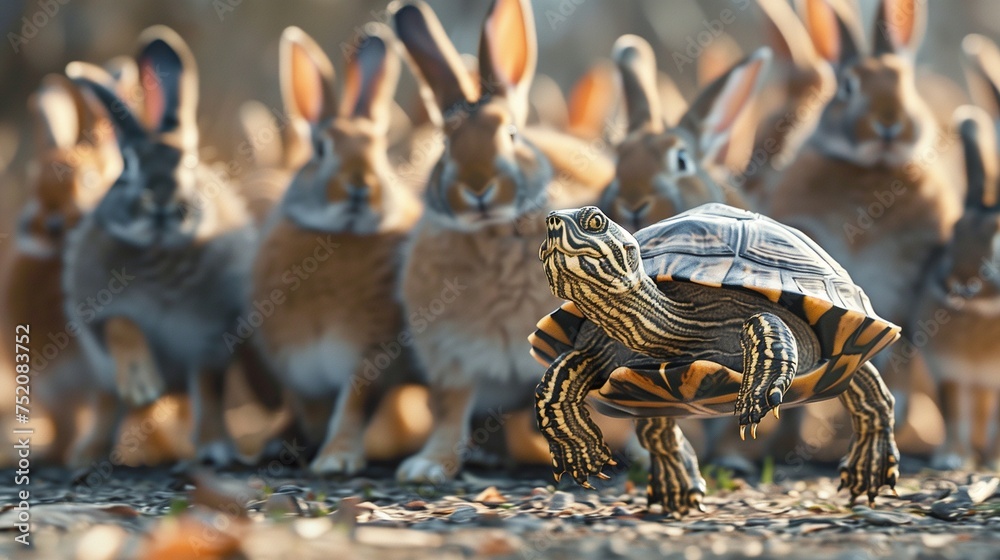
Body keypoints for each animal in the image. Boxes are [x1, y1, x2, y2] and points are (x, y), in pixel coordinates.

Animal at [64, 26, 258, 468]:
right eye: (128, 165)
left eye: (188, 162)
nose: (163, 202)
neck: (160, 253)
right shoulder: (96, 312)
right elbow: (121, 325)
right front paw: (142, 384)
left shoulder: (210, 341)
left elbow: (208, 389)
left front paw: (216, 449)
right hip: (102, 377)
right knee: (106, 404)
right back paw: (87, 455)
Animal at [249, 24, 423, 475]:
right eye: (321, 149)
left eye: (379, 149)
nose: (360, 187)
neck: (336, 236)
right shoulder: (299, 368)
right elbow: (313, 410)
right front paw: (304, 449)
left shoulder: (367, 356)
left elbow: (351, 406)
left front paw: (336, 459)